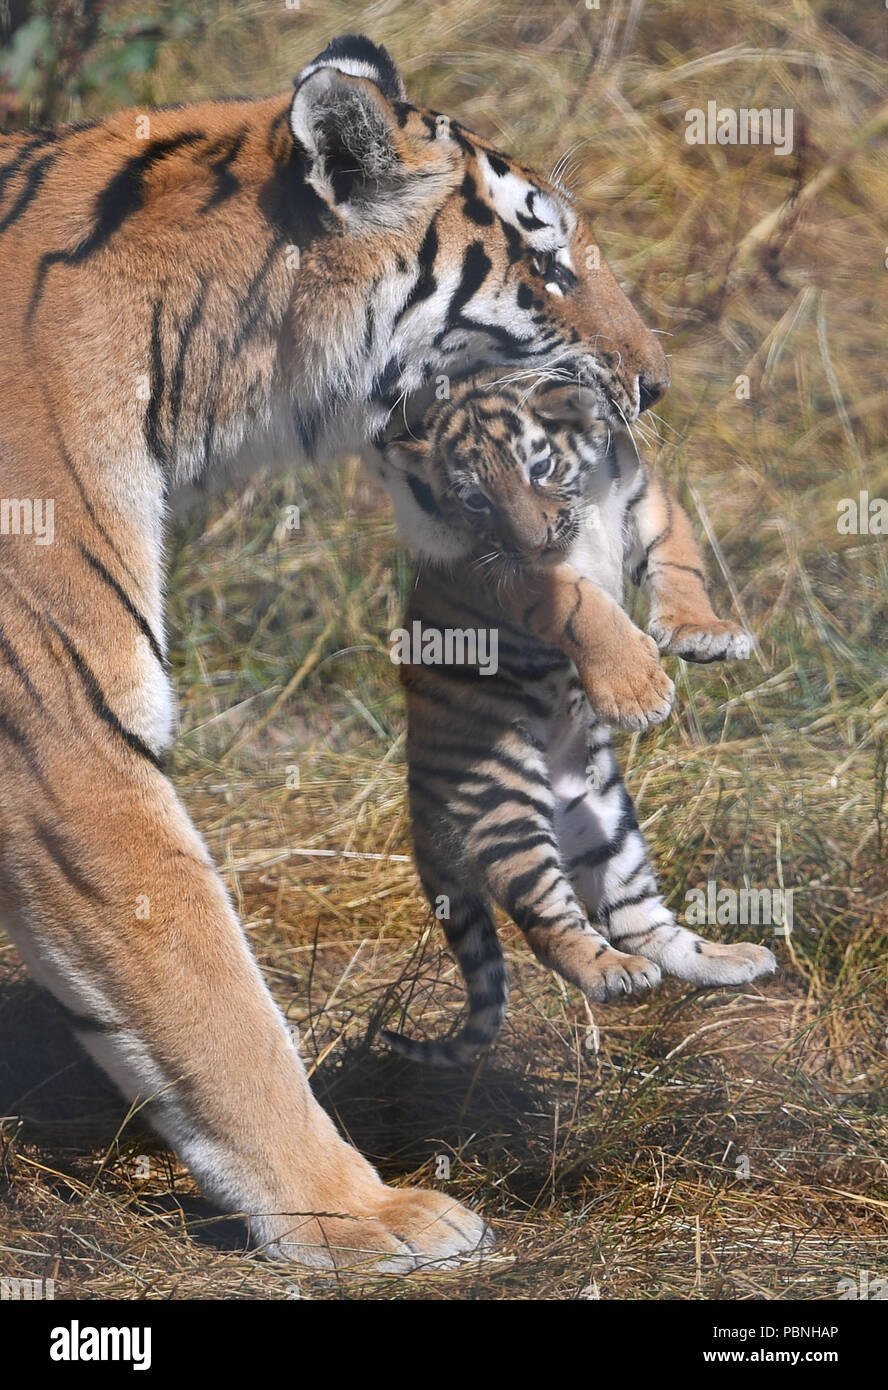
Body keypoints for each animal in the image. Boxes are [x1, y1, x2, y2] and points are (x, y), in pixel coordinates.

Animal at [378, 373, 775, 1066]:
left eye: (539, 468)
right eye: (474, 501)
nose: (534, 539)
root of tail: (417, 809)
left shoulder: (646, 498)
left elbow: (679, 561)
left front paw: (701, 632)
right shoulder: (507, 572)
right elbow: (582, 604)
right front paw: (636, 689)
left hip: (605, 821)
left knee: (643, 924)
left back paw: (727, 959)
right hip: (505, 801)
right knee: (550, 926)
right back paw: (611, 972)